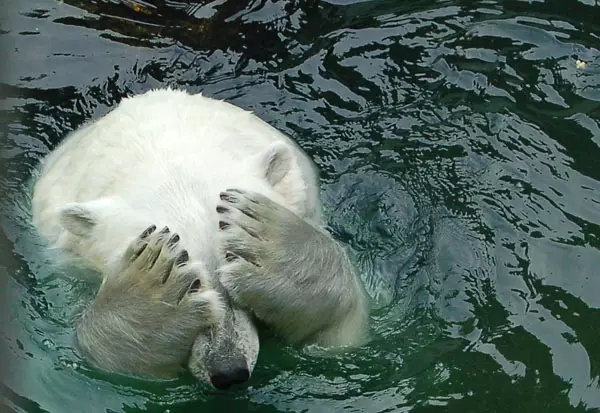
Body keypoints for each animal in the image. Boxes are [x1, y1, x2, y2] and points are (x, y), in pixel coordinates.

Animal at [32, 88, 370, 388]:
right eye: (191, 282)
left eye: (233, 260)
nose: (228, 371)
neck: (164, 144)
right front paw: (145, 294)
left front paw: (277, 245)